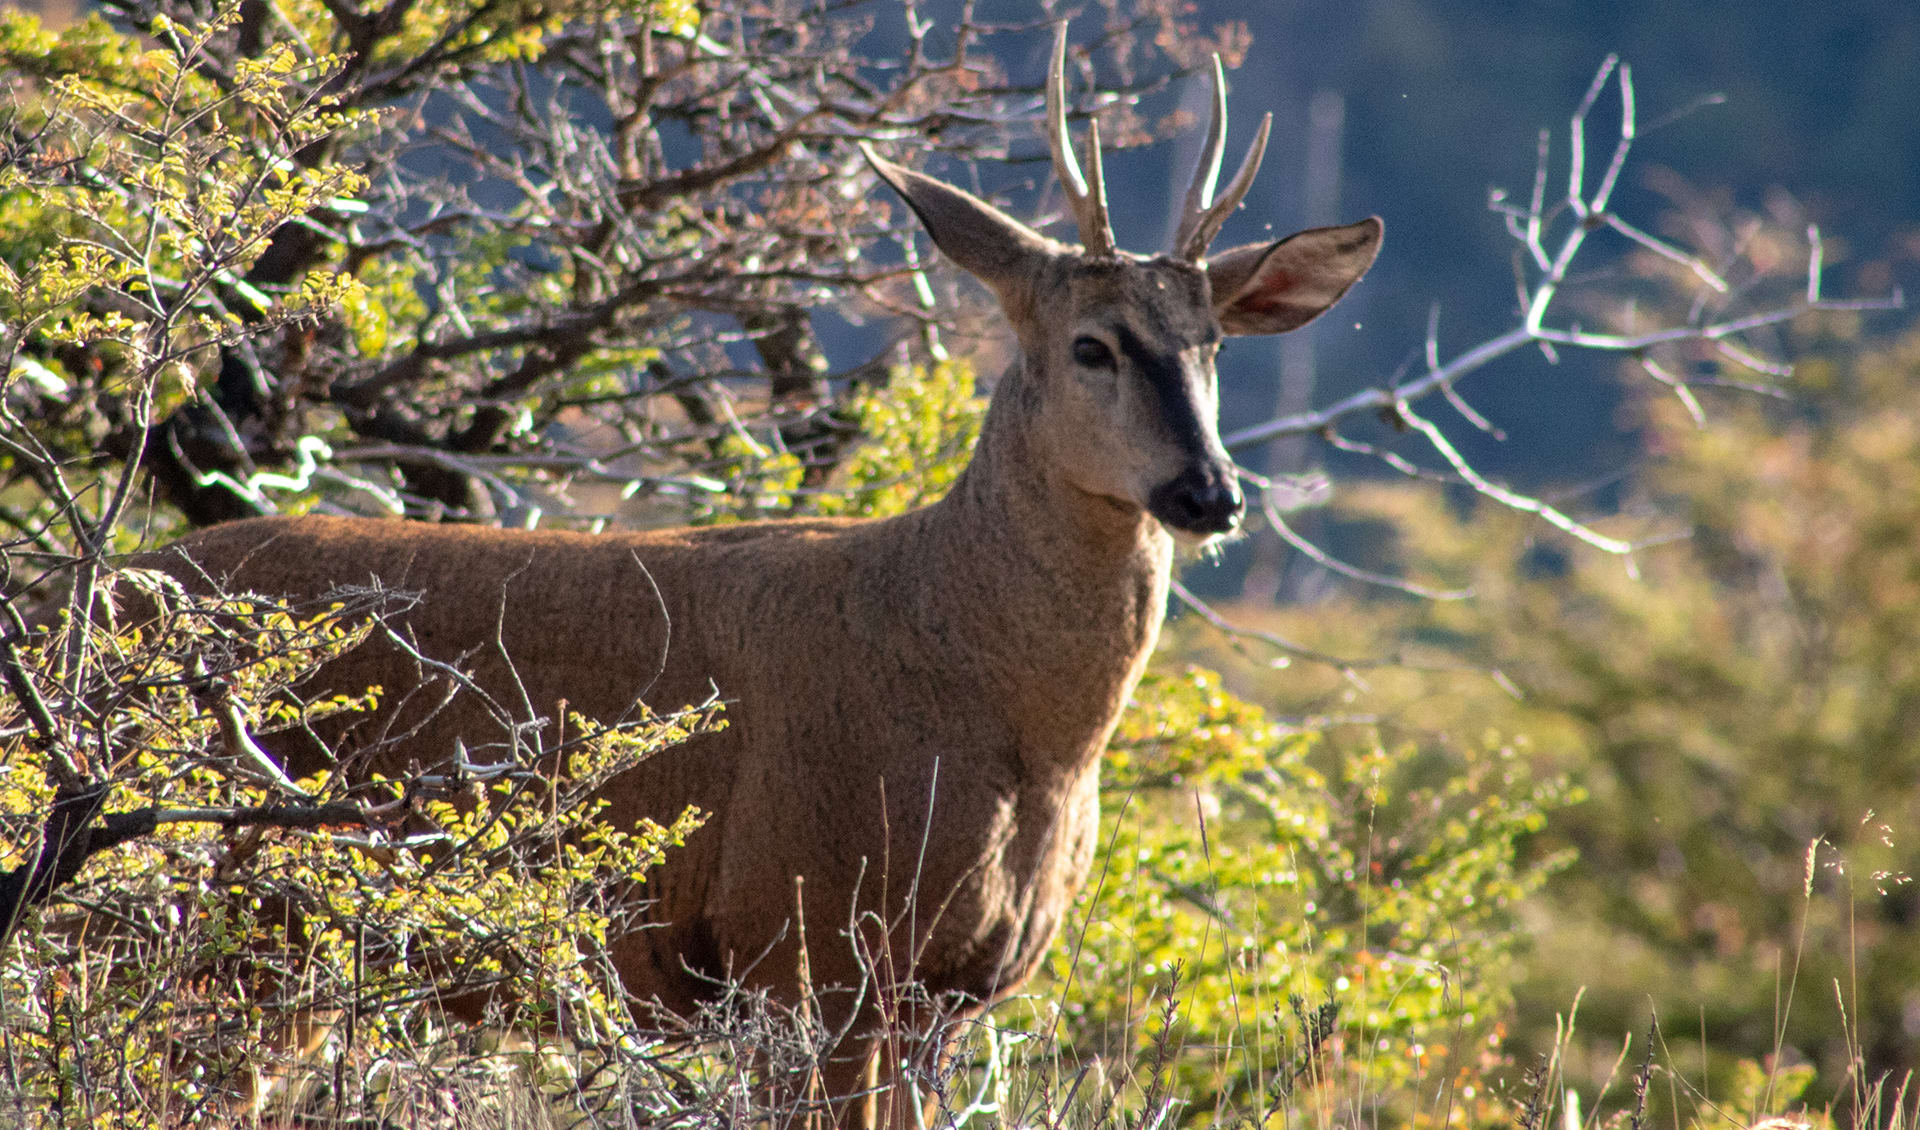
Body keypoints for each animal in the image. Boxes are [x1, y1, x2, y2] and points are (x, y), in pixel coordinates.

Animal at [131, 23, 1381, 1127]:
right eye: (1093, 344)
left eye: (1214, 345)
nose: (1209, 490)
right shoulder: (797, 940)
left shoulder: (941, 993)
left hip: (276, 959)